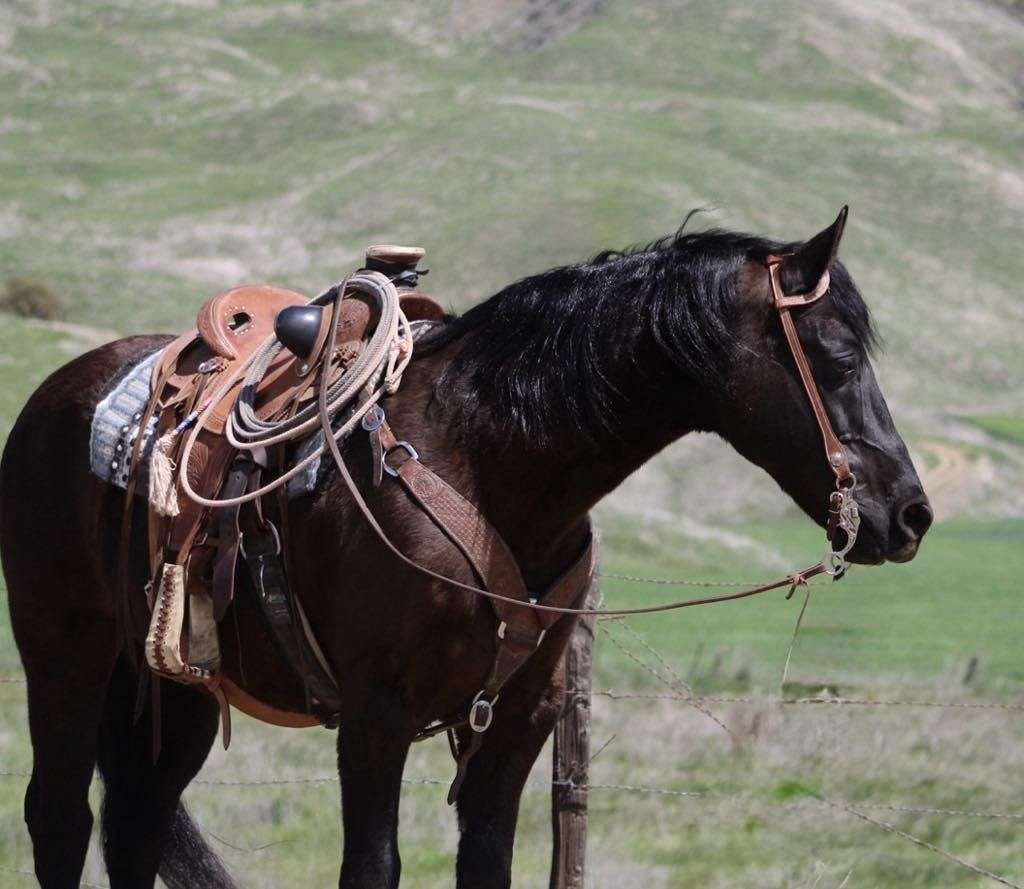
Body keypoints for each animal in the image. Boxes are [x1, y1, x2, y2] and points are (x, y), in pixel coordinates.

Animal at [0, 207, 932, 889]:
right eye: (838, 355)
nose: (911, 515)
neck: (487, 461)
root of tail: (53, 395)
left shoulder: (519, 721)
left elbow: (484, 865)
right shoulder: (374, 716)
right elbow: (371, 867)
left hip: (174, 683)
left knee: (137, 823)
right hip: (65, 658)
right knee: (61, 816)